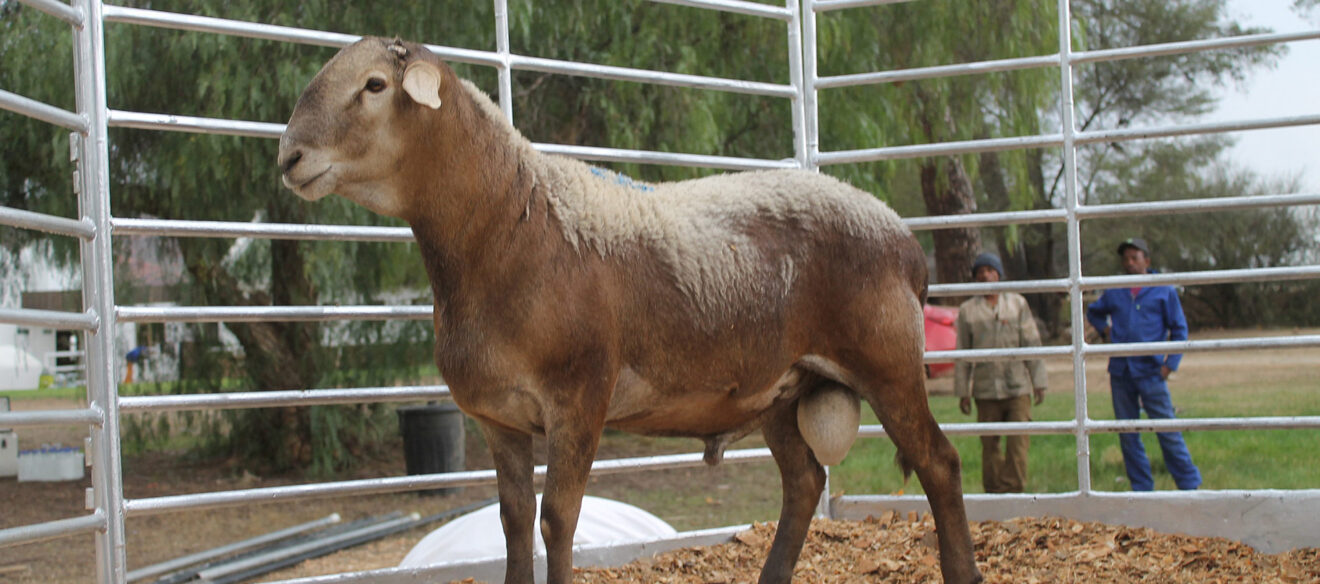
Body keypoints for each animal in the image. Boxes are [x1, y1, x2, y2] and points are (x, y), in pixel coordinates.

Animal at [278, 37, 981, 584]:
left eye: (373, 85)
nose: (288, 158)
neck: (511, 226)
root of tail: (906, 244)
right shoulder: (497, 417)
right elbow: (512, 523)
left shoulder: (580, 396)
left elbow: (557, 520)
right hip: (780, 387)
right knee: (805, 481)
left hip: (887, 360)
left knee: (940, 464)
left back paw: (963, 568)